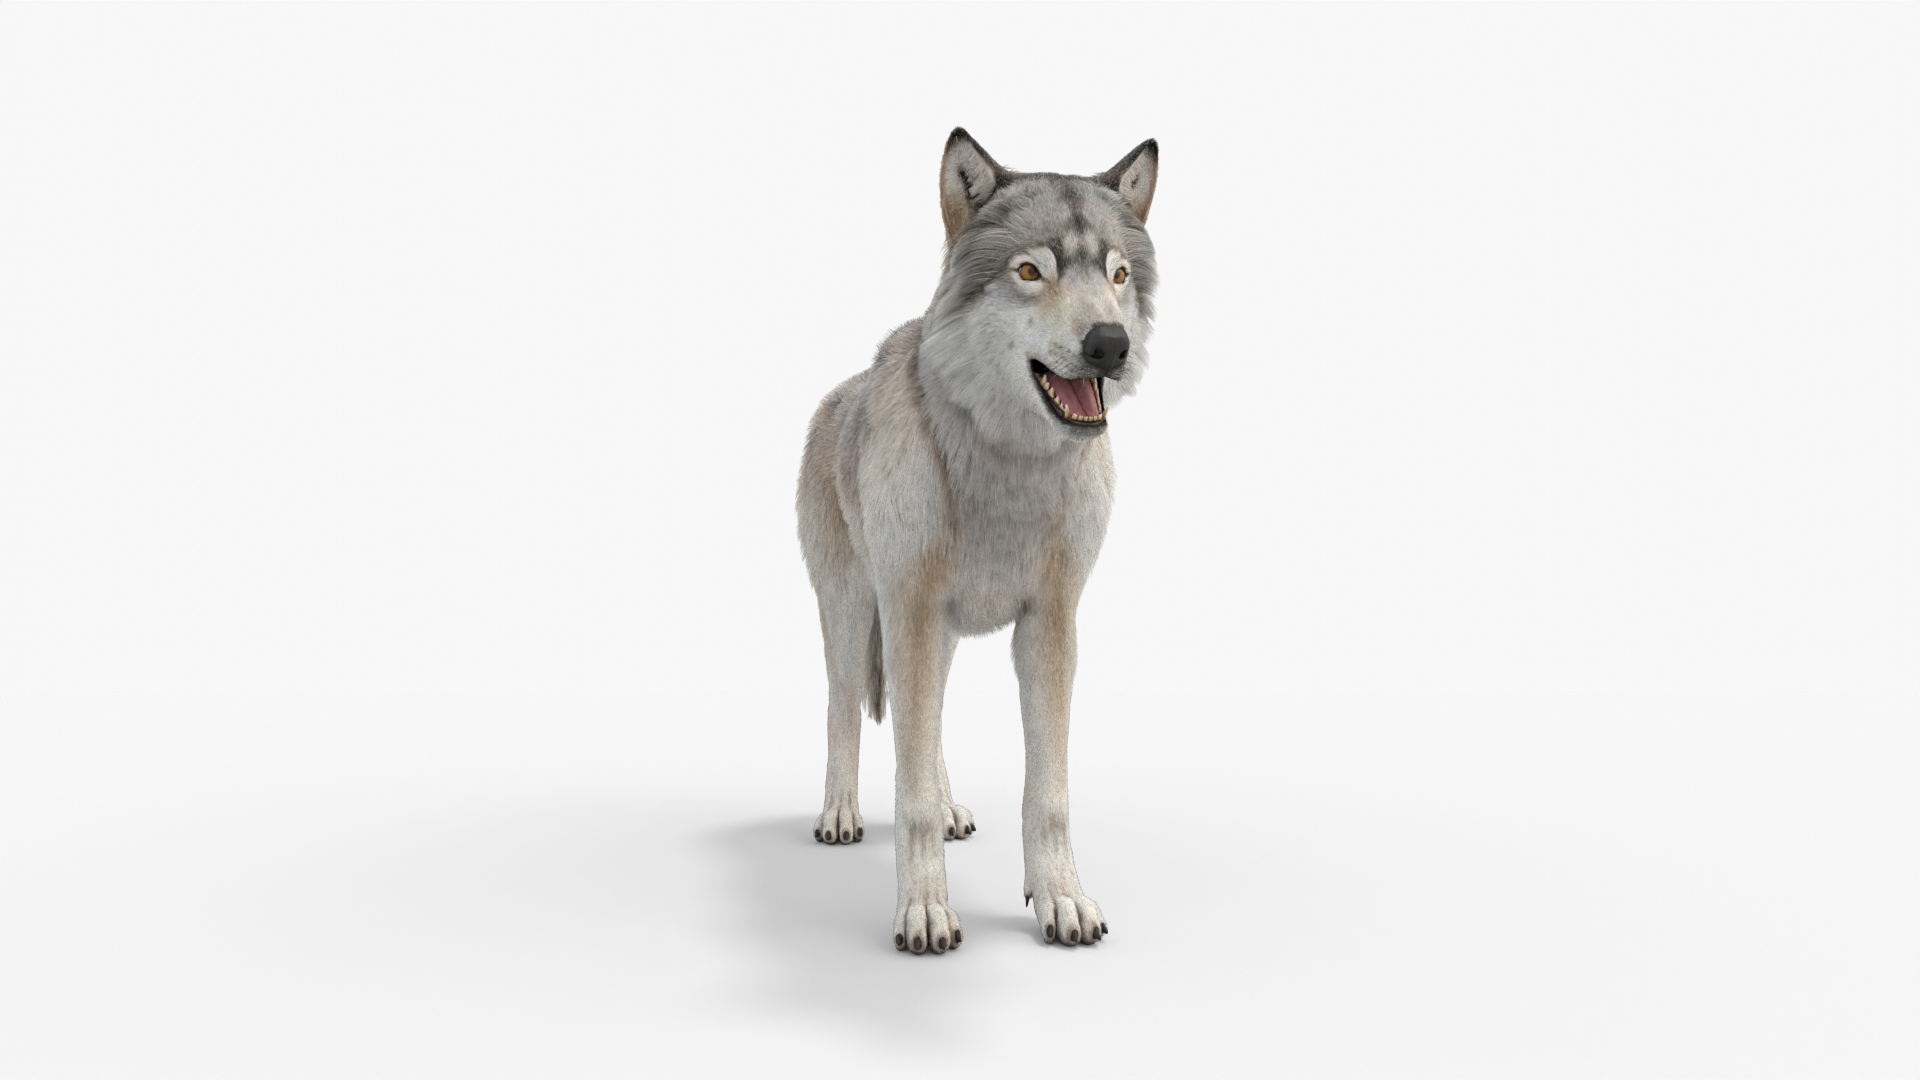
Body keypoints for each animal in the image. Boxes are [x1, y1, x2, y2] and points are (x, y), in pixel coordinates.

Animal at [796, 129, 1158, 953]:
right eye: (1030, 271)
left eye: (1119, 276)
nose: (1110, 344)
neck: (1010, 468)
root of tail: (839, 393)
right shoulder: (908, 612)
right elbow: (908, 794)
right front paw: (925, 912)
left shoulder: (1049, 624)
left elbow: (1046, 792)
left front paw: (1061, 900)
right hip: (854, 616)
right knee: (845, 710)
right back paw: (839, 815)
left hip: (937, 635)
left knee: (924, 728)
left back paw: (951, 806)